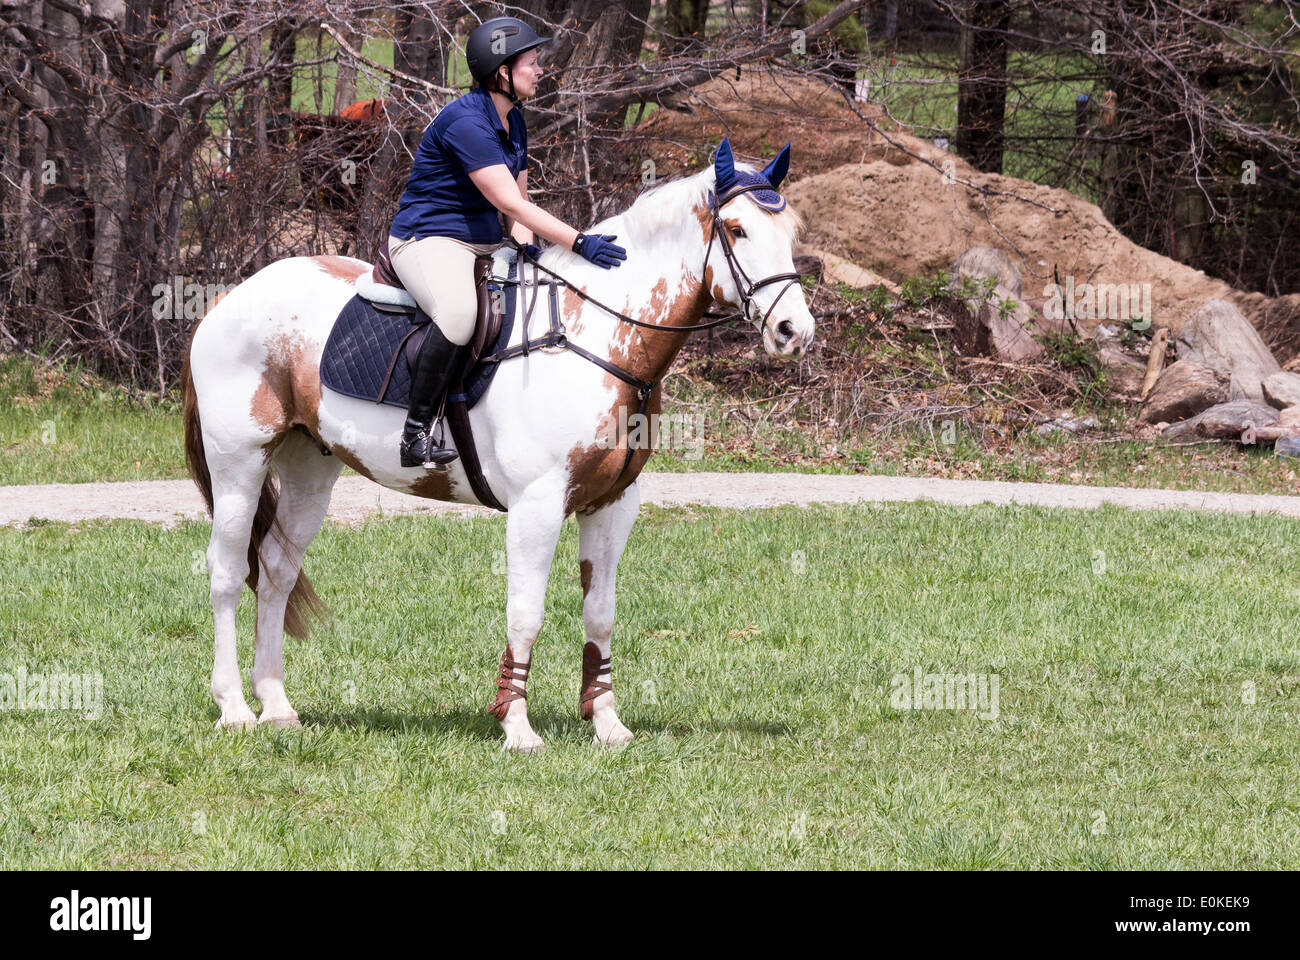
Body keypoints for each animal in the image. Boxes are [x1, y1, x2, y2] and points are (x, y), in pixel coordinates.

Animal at [181, 138, 815, 751]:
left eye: (791, 233)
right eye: (737, 230)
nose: (796, 332)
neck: (594, 333)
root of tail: (229, 297)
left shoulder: (612, 504)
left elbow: (601, 614)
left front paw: (606, 724)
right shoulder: (538, 505)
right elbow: (526, 614)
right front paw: (517, 728)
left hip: (309, 466)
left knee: (277, 569)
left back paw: (277, 706)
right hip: (240, 463)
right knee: (228, 571)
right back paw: (234, 708)